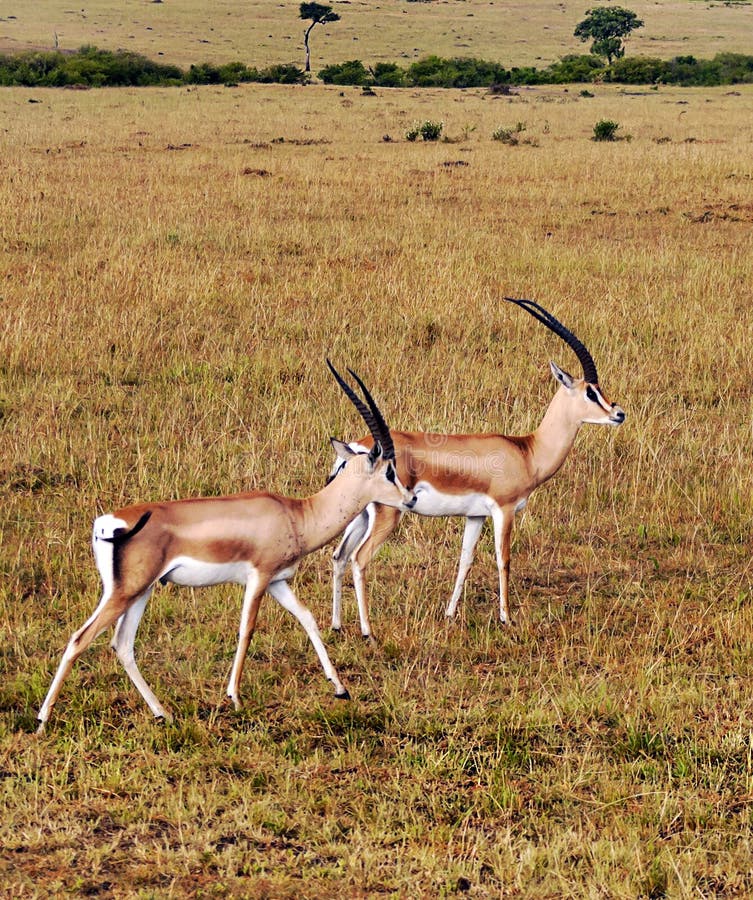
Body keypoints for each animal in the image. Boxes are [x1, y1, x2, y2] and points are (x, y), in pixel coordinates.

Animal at [36, 362, 417, 733]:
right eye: (389, 471)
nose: (411, 499)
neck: (295, 514)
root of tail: (107, 522)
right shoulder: (259, 578)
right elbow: (246, 630)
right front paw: (234, 697)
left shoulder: (278, 581)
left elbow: (308, 619)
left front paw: (340, 688)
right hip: (125, 593)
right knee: (79, 639)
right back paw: (42, 721)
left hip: (140, 591)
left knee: (123, 645)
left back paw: (164, 714)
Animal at [330, 297, 626, 639]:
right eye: (590, 391)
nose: (619, 414)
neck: (527, 451)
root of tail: (358, 447)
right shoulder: (504, 510)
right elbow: (503, 559)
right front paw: (506, 618)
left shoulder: (475, 516)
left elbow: (465, 560)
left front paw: (449, 614)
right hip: (387, 514)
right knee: (359, 558)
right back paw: (367, 631)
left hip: (359, 514)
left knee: (338, 556)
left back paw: (337, 625)